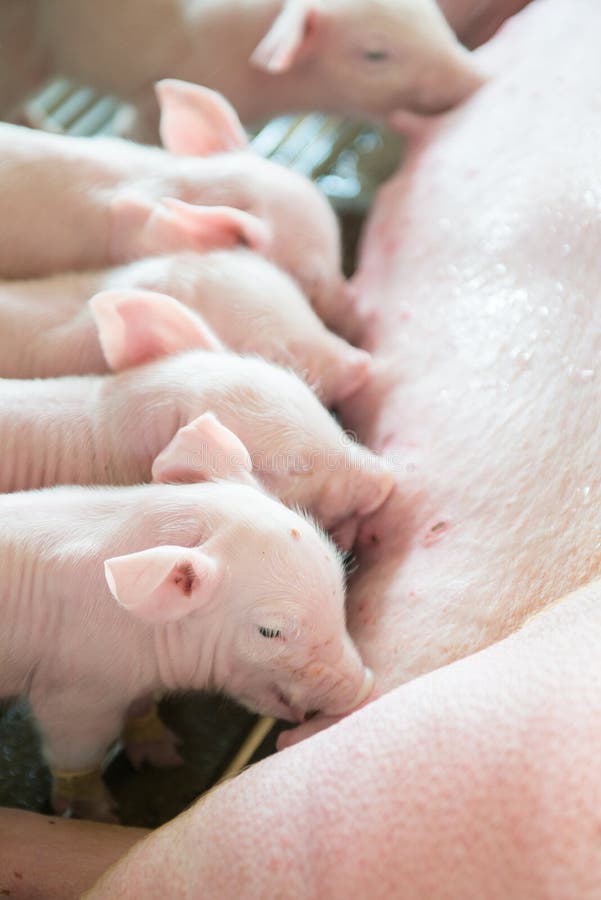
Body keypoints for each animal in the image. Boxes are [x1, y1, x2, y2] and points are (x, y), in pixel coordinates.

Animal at [0, 430, 373, 819]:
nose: (366, 687)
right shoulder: (72, 690)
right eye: (270, 631)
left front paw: (167, 756)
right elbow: (75, 750)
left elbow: (140, 710)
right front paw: (98, 813)